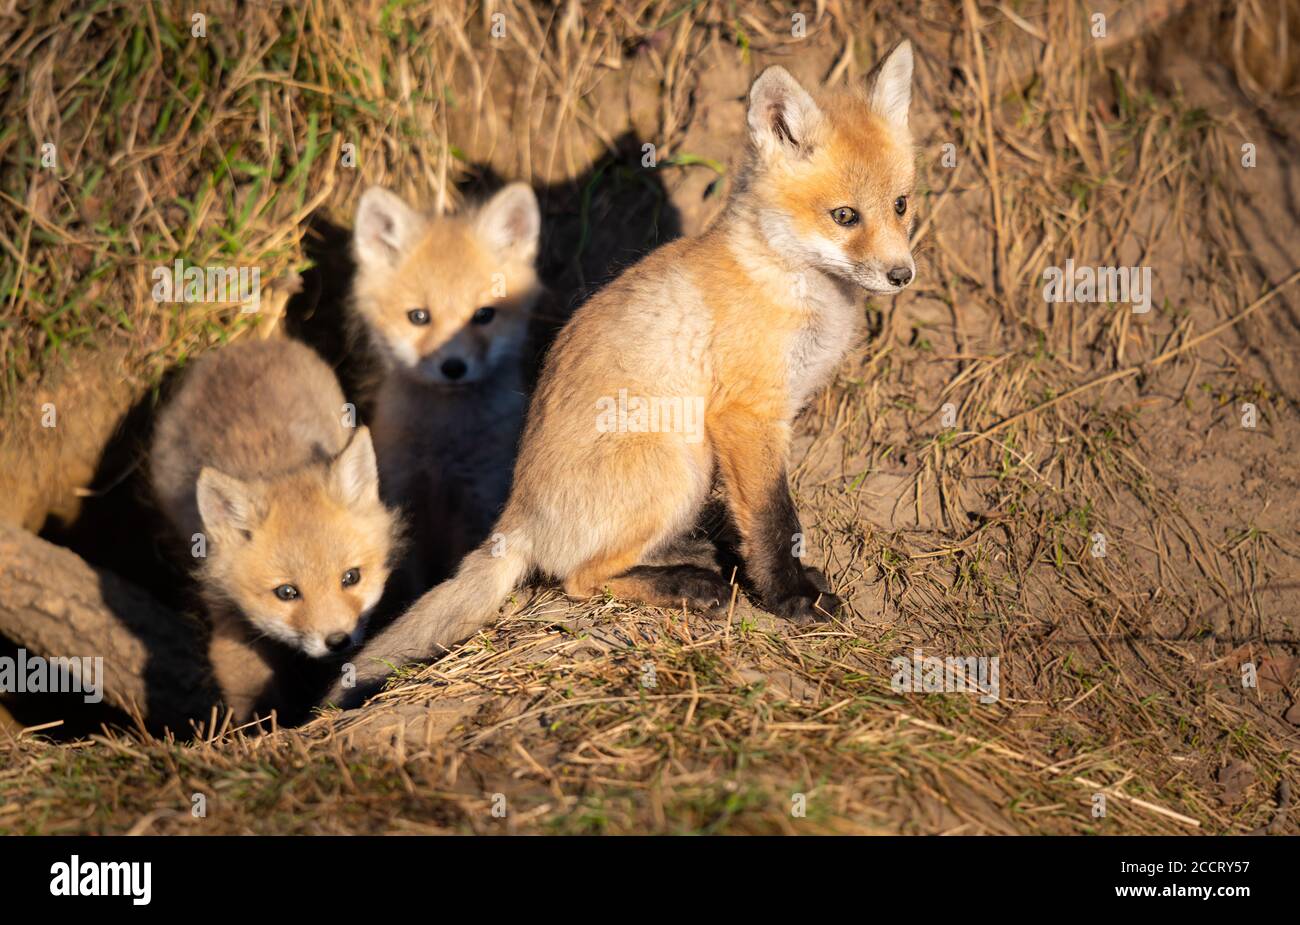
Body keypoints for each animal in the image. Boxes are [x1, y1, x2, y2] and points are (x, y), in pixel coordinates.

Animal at [150, 337, 400, 721]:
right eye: (286, 592)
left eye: (351, 578)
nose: (337, 641)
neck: (278, 466)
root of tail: (246, 344)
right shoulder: (225, 612)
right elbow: (244, 681)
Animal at [350, 182, 542, 593]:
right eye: (418, 316)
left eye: (483, 315)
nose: (453, 366)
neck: (443, 448)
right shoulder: (405, 497)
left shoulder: (478, 499)